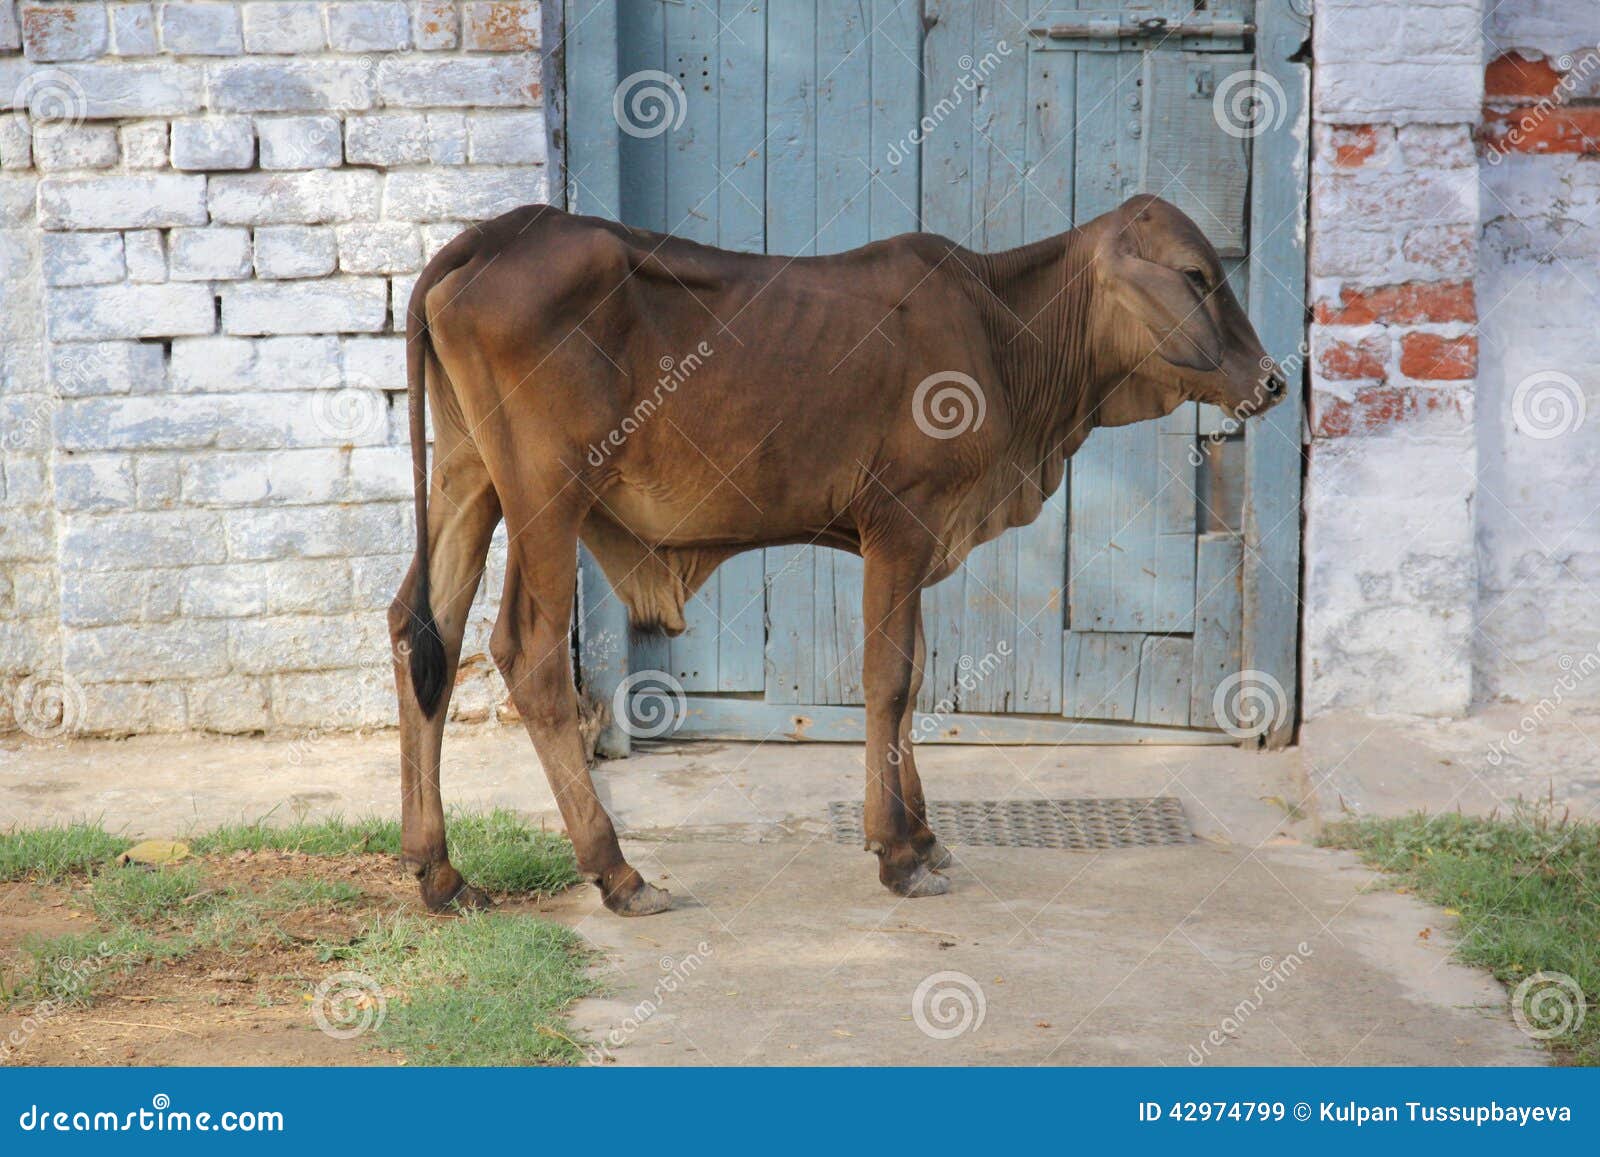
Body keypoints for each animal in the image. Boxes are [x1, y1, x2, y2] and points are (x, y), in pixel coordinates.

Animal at [387, 193, 1287, 917]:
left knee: (420, 630)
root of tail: (490, 235)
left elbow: (914, 679)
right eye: (1196, 275)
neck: (1007, 335)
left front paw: (923, 836)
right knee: (528, 654)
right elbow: (888, 679)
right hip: (546, 493)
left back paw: (441, 872)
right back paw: (617, 871)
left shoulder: (913, 543)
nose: (1275, 380)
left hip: (469, 473)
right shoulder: (902, 523)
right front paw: (897, 853)